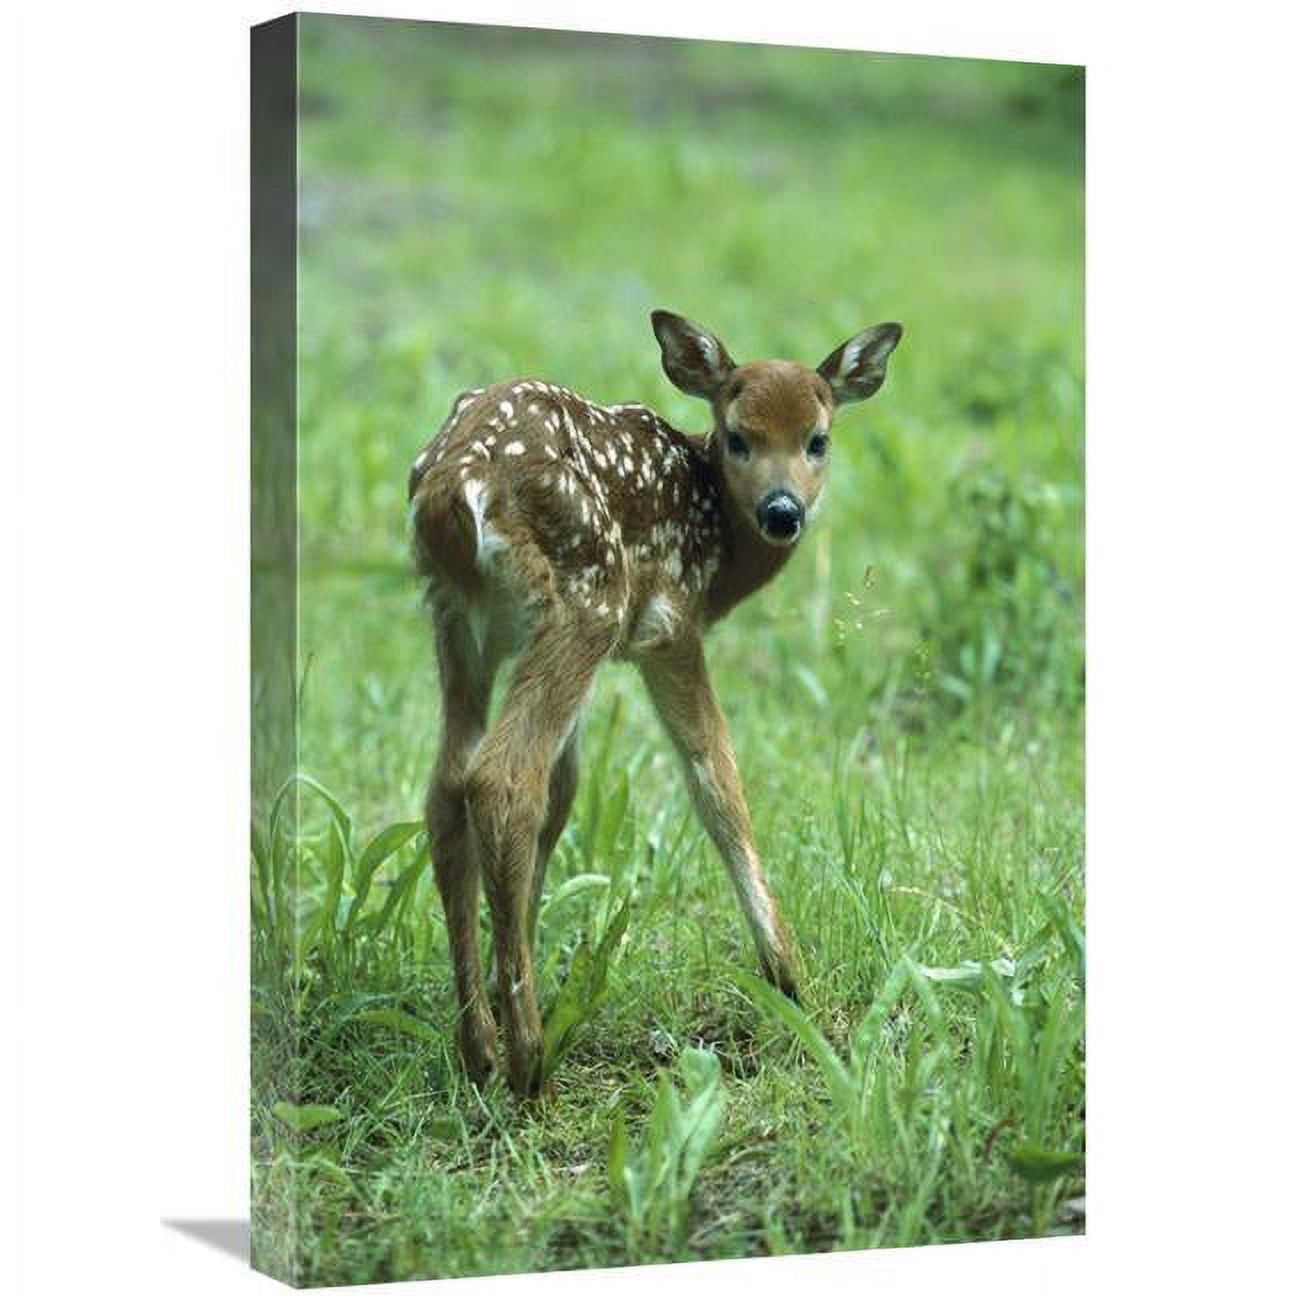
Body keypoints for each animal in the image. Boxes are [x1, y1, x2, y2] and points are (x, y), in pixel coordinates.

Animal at [408, 310, 903, 1095]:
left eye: (817, 439)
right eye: (738, 436)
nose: (783, 512)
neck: (718, 542)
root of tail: (454, 486)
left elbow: (566, 796)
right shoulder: (668, 628)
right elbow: (717, 781)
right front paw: (791, 982)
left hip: (460, 618)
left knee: (449, 784)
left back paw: (479, 1046)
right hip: (587, 598)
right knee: (502, 779)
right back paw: (528, 1062)